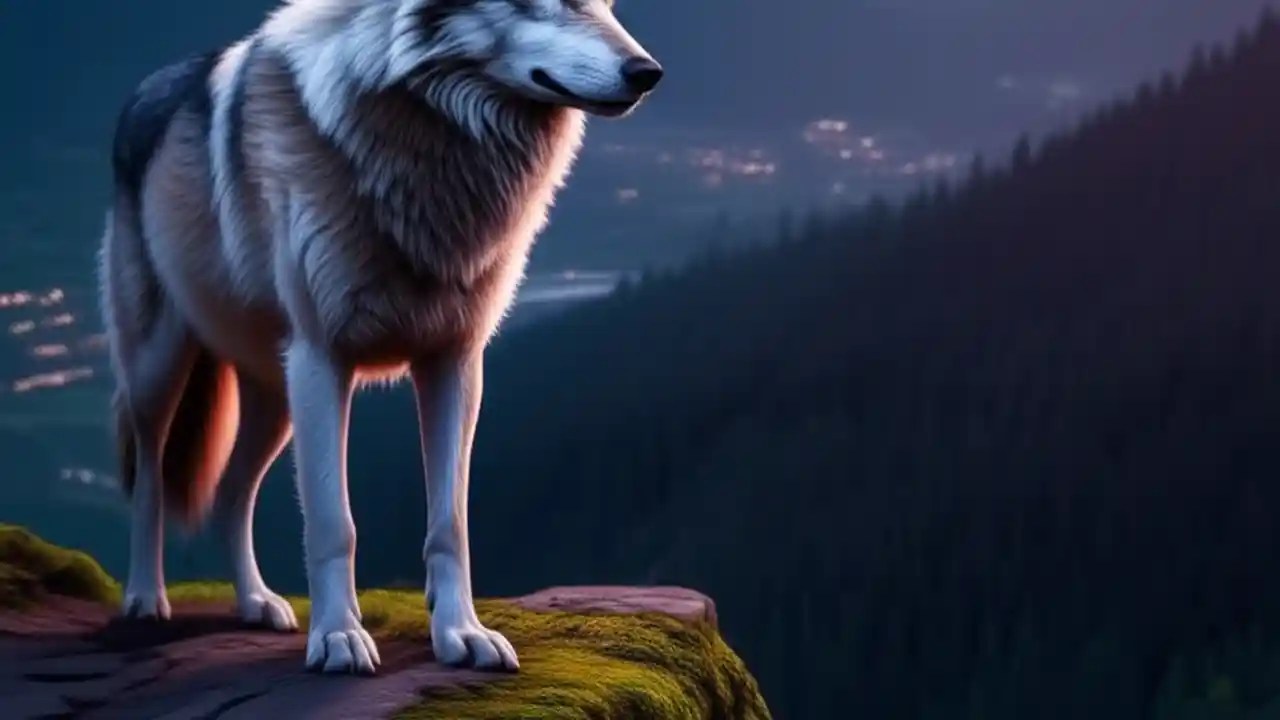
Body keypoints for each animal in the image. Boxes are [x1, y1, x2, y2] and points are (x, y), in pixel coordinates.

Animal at [98, 0, 661, 675]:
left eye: (607, 5)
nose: (648, 73)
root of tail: (143, 90)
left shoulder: (455, 362)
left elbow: (450, 524)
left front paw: (462, 634)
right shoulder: (322, 361)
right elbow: (334, 524)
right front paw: (339, 636)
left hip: (277, 401)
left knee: (234, 493)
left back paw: (257, 602)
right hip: (163, 370)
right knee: (151, 478)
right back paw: (145, 597)